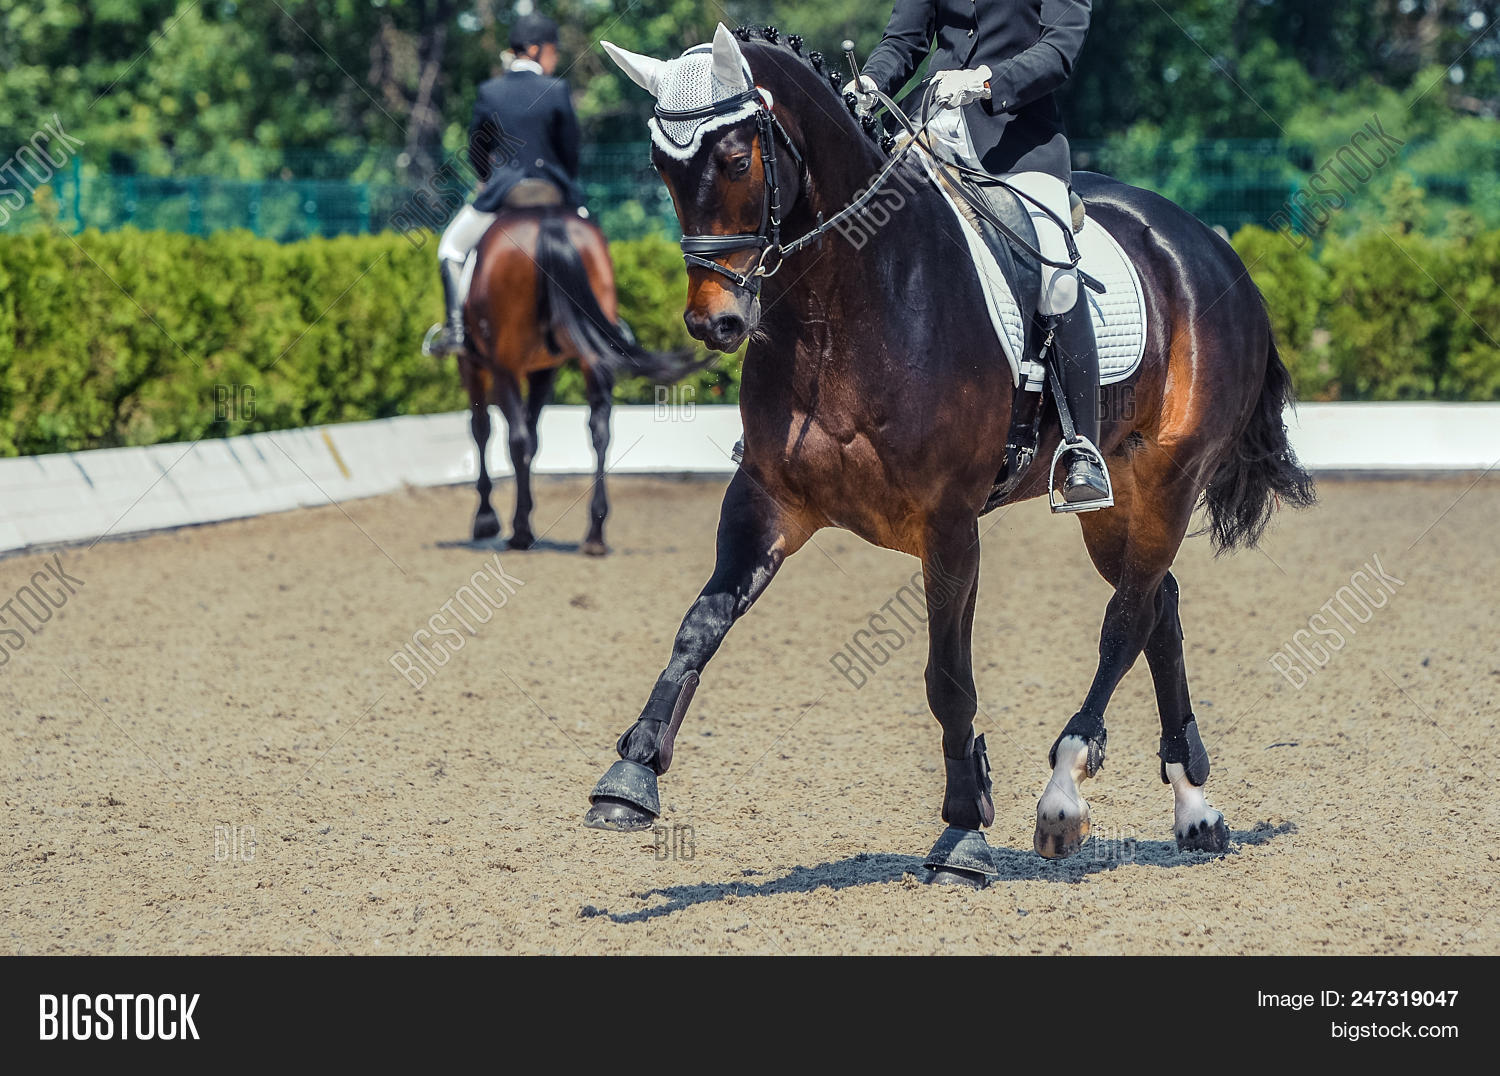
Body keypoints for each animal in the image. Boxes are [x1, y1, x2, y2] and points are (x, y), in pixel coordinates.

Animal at [455, 195, 702, 554]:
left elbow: (482, 429)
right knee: (599, 430)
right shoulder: (543, 369)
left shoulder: (474, 364)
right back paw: (594, 532)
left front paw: (486, 519)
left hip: (502, 365)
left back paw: (520, 532)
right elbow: (533, 434)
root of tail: (548, 219)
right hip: (592, 355)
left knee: (513, 436)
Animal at [584, 25, 1316, 886]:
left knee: (1126, 619)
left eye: (735, 159)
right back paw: (1193, 806)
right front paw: (629, 777)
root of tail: (1211, 246)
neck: (851, 298)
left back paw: (1064, 794)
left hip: (1172, 476)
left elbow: (947, 676)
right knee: (1157, 608)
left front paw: (965, 830)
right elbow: (701, 622)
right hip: (1117, 496)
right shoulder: (769, 499)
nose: (715, 323)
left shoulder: (949, 524)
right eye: (663, 167)